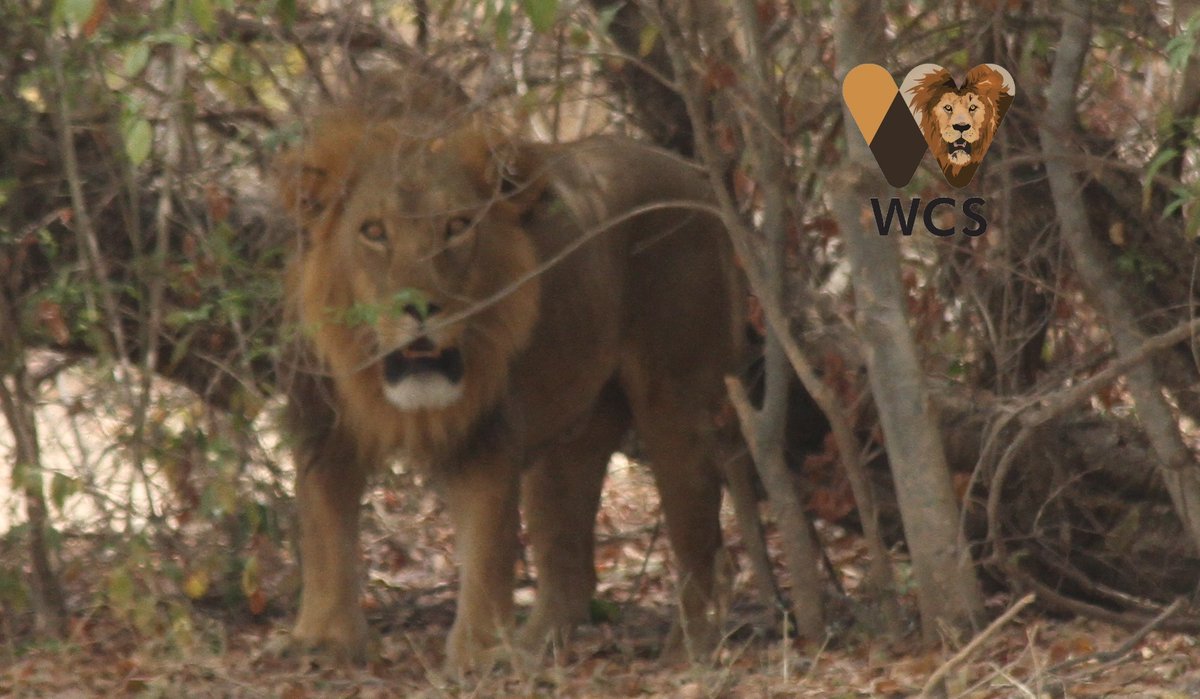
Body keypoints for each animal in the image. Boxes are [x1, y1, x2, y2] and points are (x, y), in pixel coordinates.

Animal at [276, 99, 747, 670]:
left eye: (457, 226)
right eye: (373, 231)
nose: (419, 309)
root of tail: (695, 175)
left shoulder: (488, 436)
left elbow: (486, 547)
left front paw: (478, 654)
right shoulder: (323, 429)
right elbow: (324, 534)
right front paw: (321, 642)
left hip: (676, 404)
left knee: (702, 547)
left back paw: (687, 652)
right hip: (570, 439)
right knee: (570, 571)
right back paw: (531, 651)